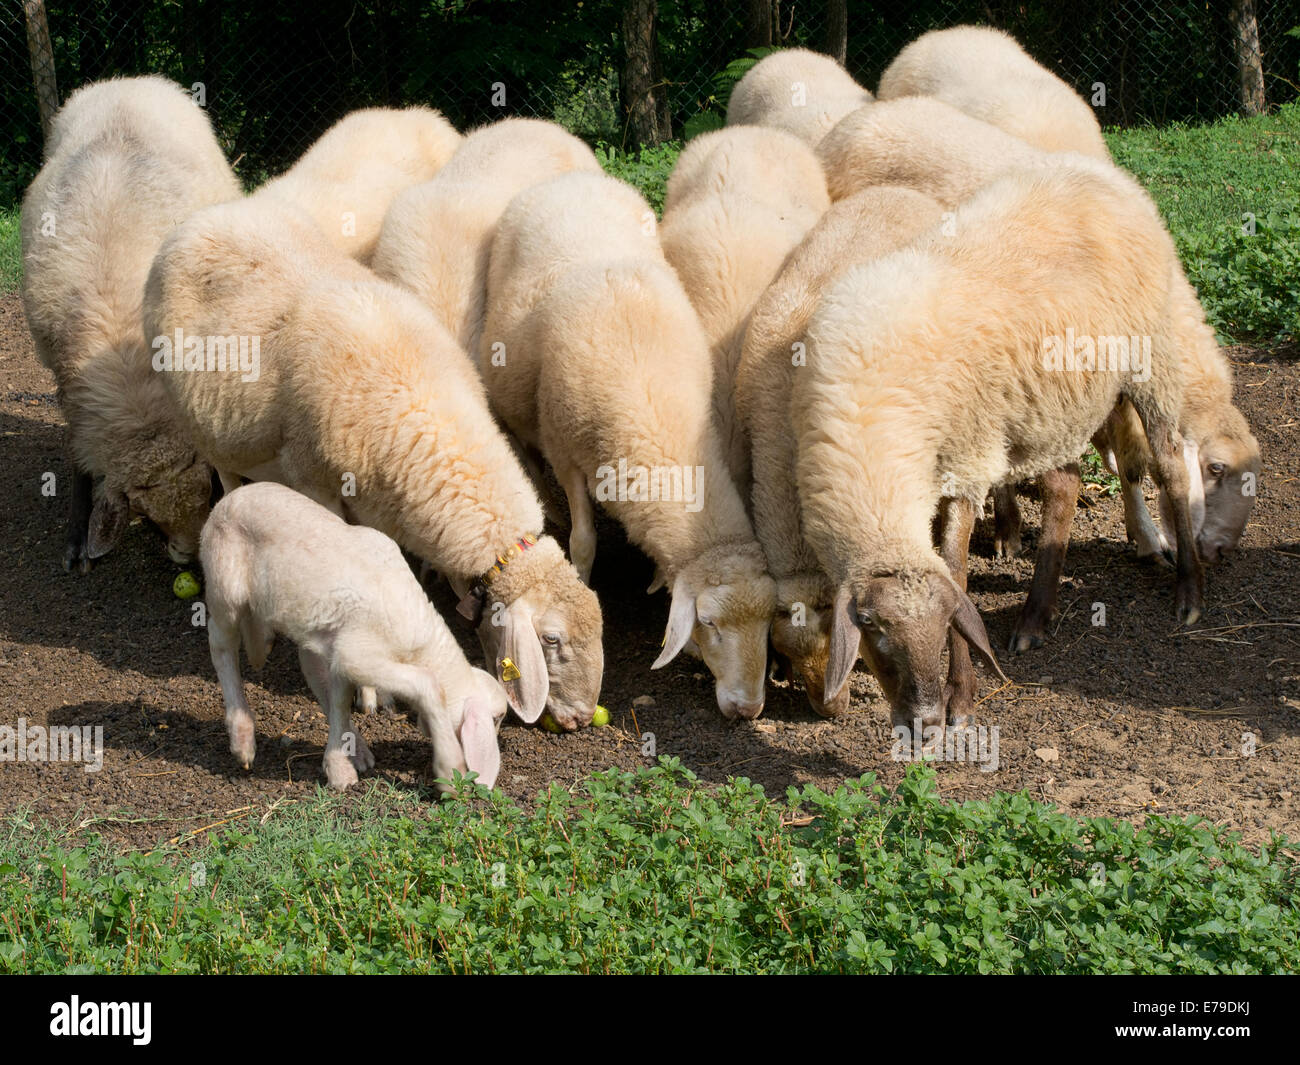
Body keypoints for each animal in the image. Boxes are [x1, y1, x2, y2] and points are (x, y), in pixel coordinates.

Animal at [20, 75, 240, 572]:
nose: (189, 560)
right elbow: (78, 457)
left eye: (208, 495)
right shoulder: (70, 386)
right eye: (149, 519)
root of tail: (128, 81)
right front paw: (76, 538)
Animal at [144, 196, 604, 731]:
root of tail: (203, 218)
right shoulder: (316, 484)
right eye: (552, 640)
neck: (421, 411)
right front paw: (366, 690)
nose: (580, 718)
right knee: (225, 474)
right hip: (196, 415)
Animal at [201, 482, 508, 792]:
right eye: (497, 718)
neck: (419, 645)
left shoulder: (342, 654)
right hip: (224, 583)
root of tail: (228, 499)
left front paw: (339, 765)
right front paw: (450, 771)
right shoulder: (358, 653)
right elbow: (428, 685)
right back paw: (241, 736)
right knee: (220, 643)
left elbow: (339, 699)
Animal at [482, 171, 776, 720]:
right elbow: (583, 539)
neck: (654, 422)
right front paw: (580, 575)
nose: (748, 709)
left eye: (770, 624)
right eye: (709, 623)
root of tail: (572, 178)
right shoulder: (566, 450)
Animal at [793, 159, 1205, 742]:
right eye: (870, 627)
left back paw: (1189, 592)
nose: (923, 723)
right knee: (1065, 483)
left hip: (1153, 353)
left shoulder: (964, 463)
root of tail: (1104, 174)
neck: (874, 432)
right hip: (1055, 402)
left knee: (1169, 463)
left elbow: (957, 572)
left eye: (945, 624)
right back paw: (1036, 616)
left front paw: (962, 699)